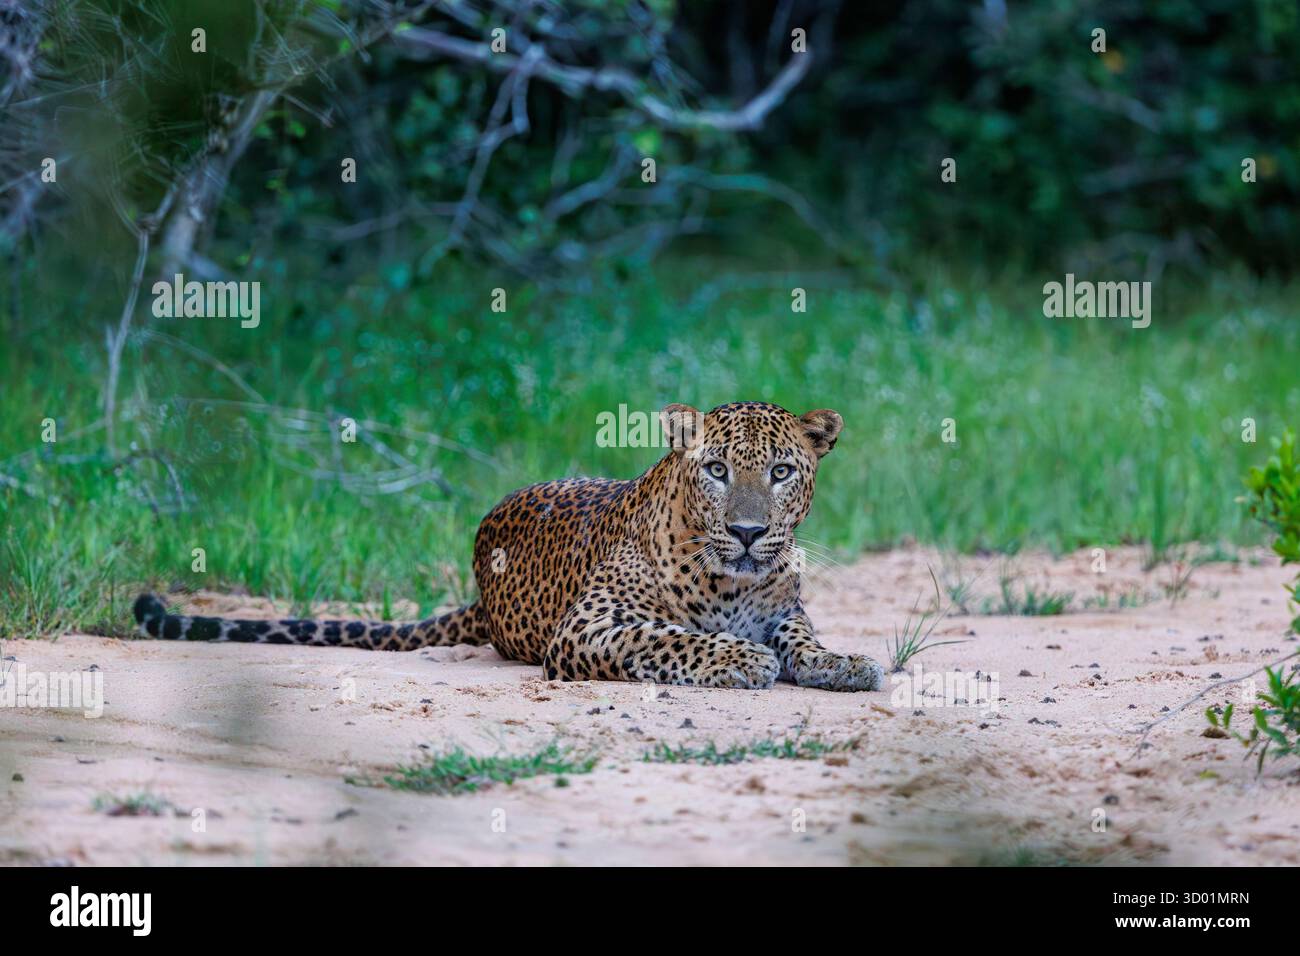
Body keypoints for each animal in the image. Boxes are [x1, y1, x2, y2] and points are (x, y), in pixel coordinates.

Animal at [134, 401, 883, 691]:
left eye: (781, 472)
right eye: (718, 470)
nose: (750, 532)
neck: (733, 582)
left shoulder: (786, 610)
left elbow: (803, 639)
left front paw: (843, 662)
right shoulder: (591, 627)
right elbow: (676, 638)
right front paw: (741, 659)